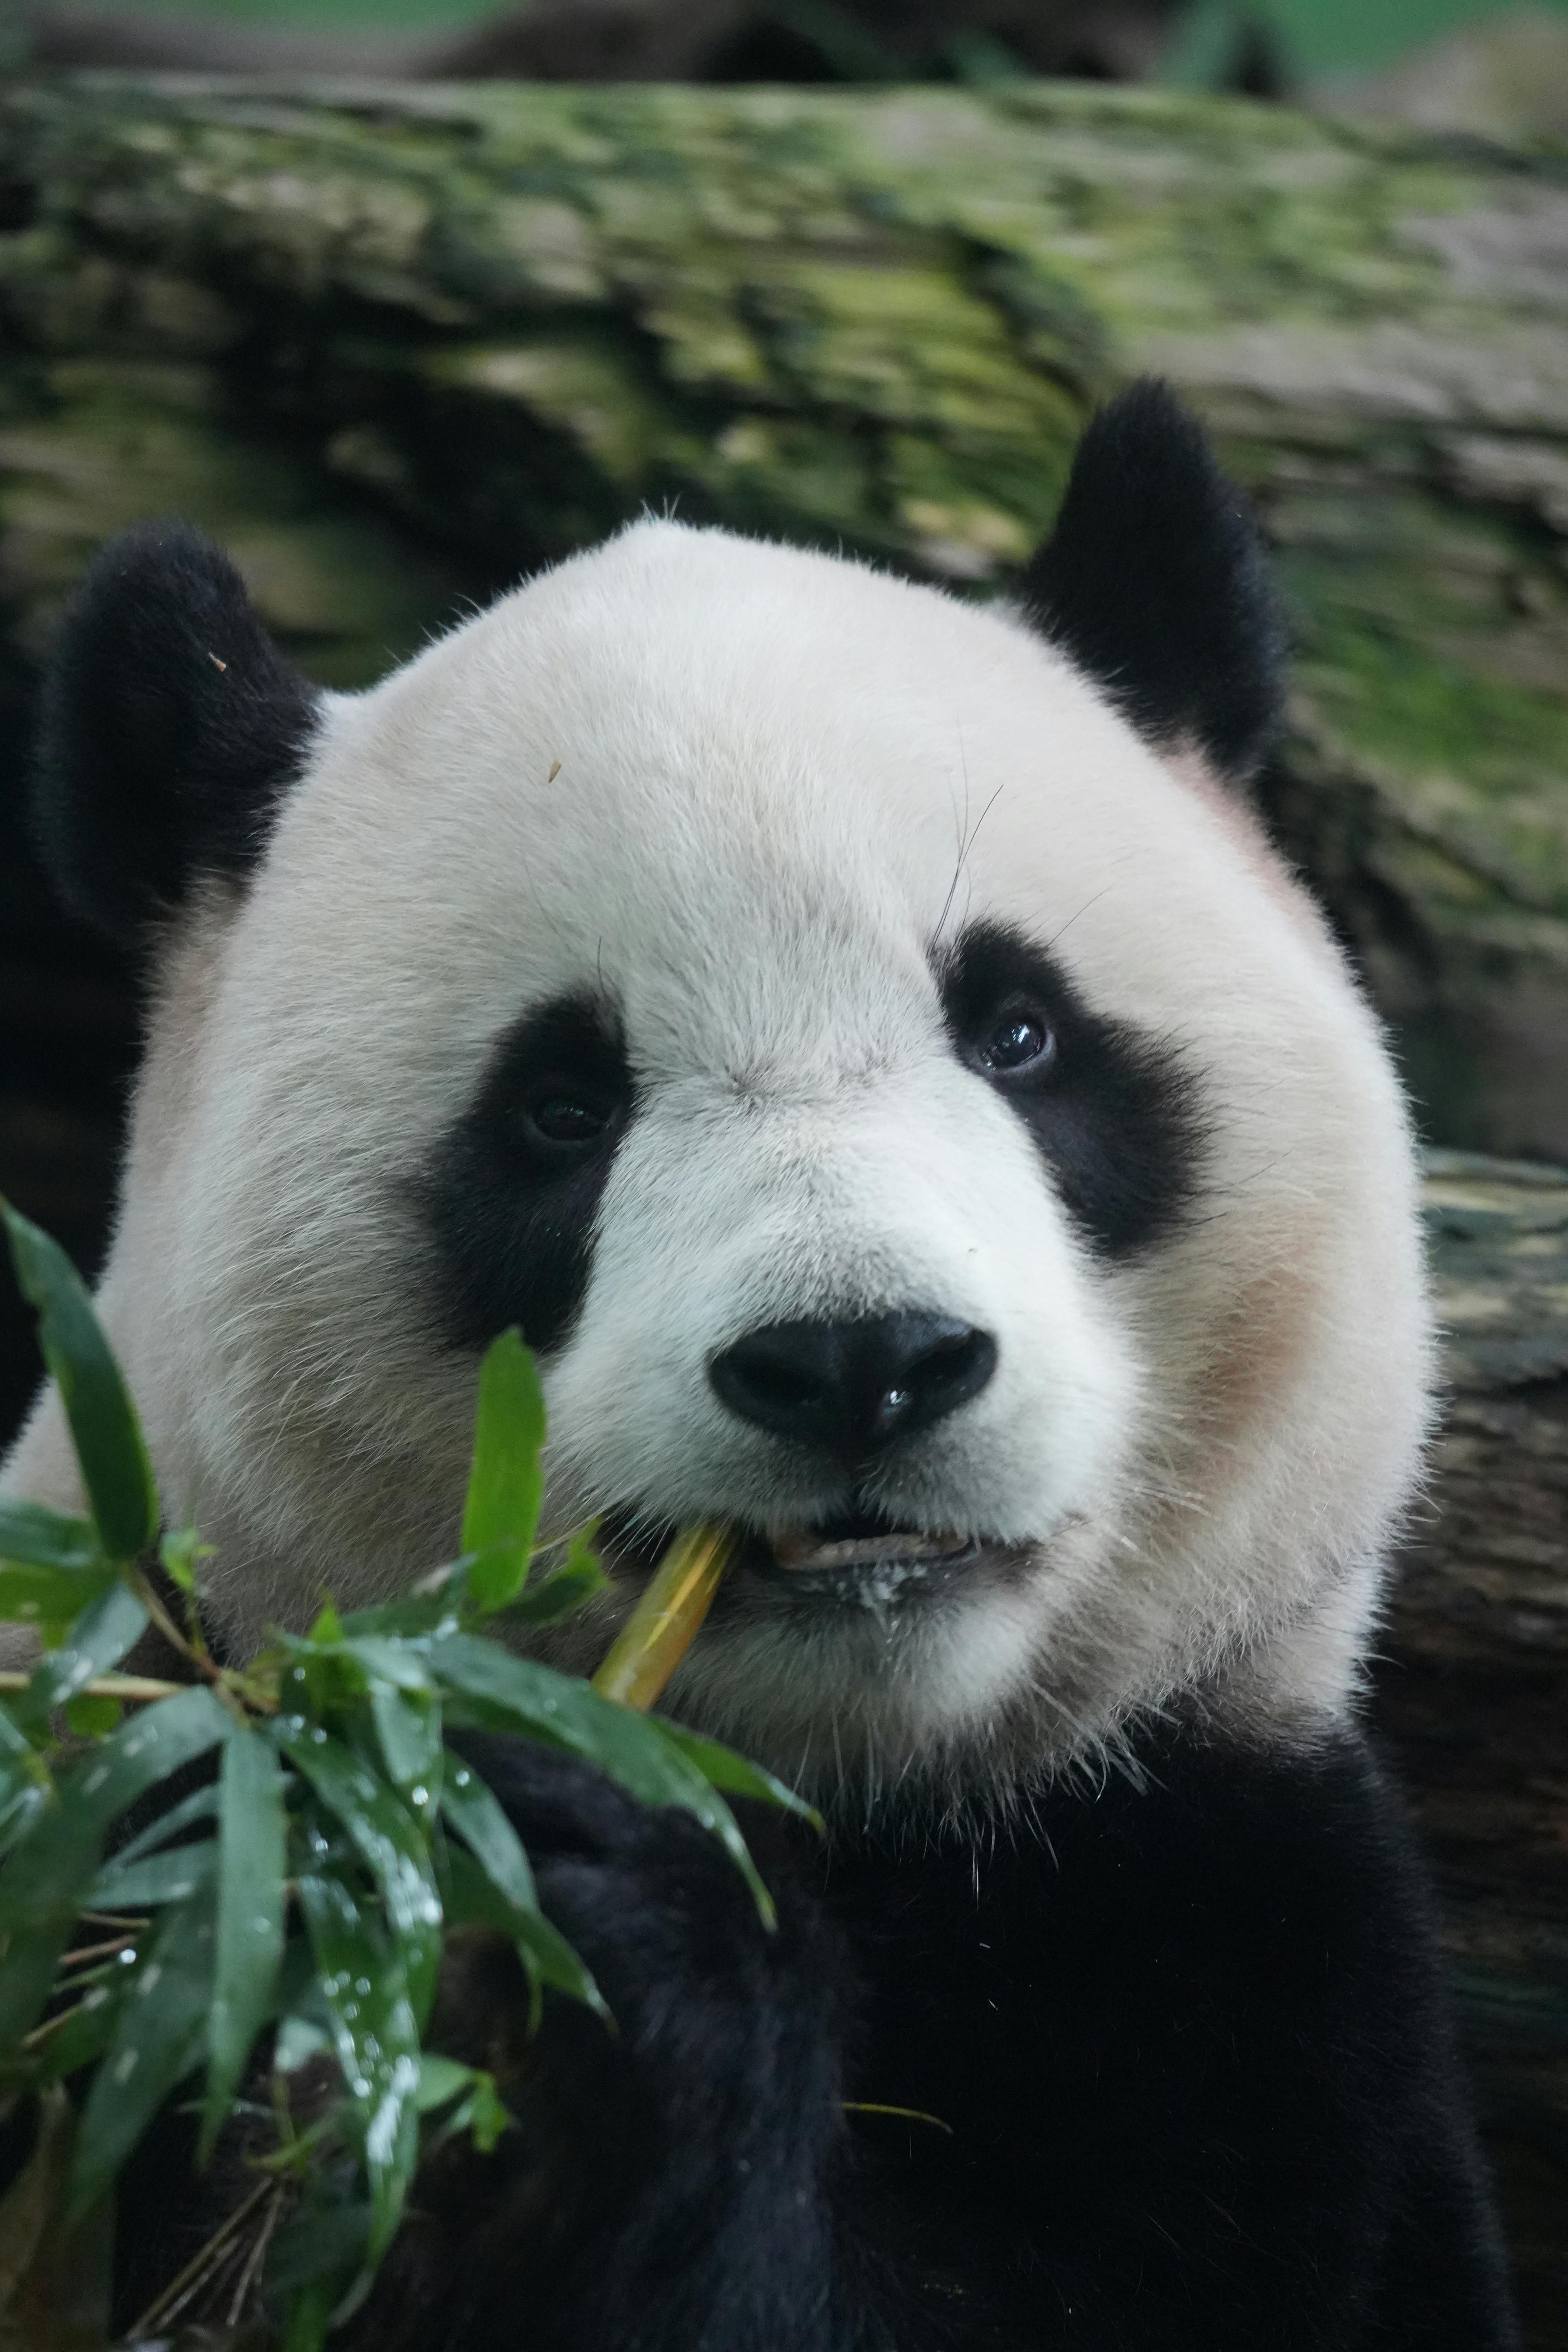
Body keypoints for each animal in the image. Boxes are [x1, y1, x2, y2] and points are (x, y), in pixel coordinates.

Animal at [2, 382, 1518, 2349]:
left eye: (1016, 1030)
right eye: (559, 1109)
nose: (857, 1360)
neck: (847, 1793)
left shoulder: (1227, 1904)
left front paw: (585, 1994)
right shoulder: (137, 1807)